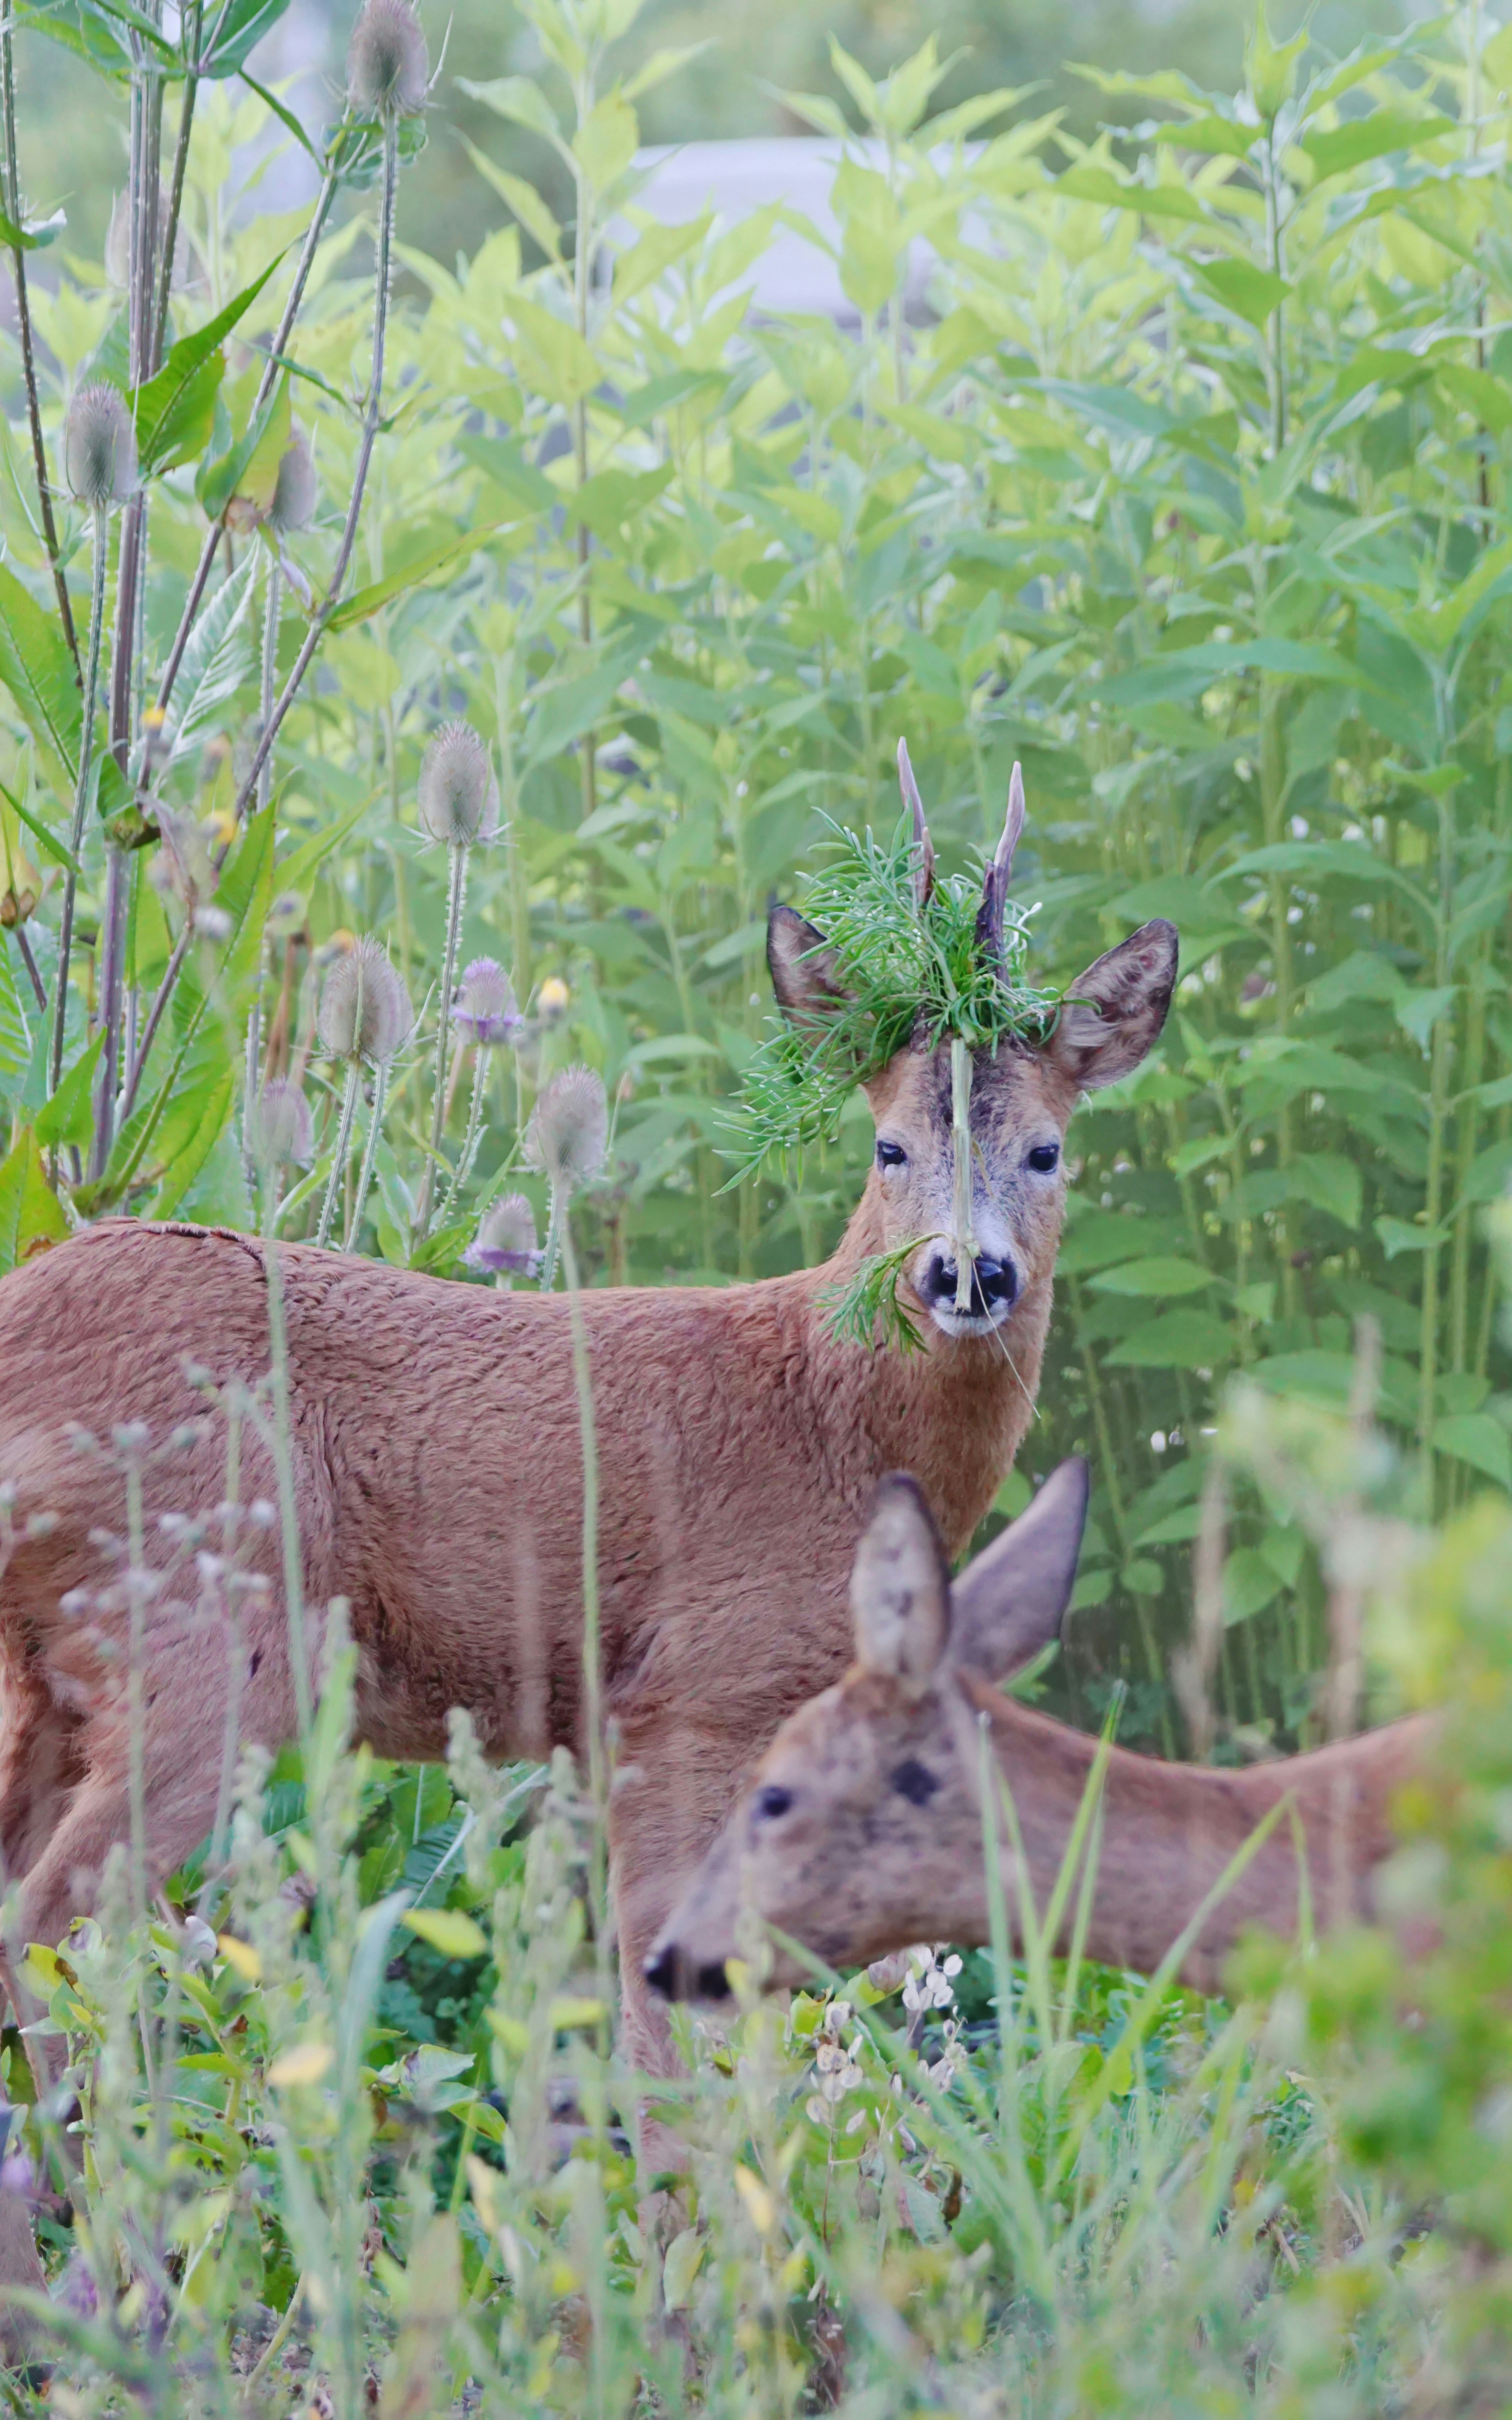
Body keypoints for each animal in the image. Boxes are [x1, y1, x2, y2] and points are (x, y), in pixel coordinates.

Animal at [0, 754, 1176, 2314]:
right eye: (888, 1143)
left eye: (1046, 1149)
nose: (964, 1274)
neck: (828, 1412)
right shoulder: (694, 1695)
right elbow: (666, 2042)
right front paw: (698, 2301)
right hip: (201, 1635)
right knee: (64, 1925)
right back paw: (119, 2284)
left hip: (50, 1674)